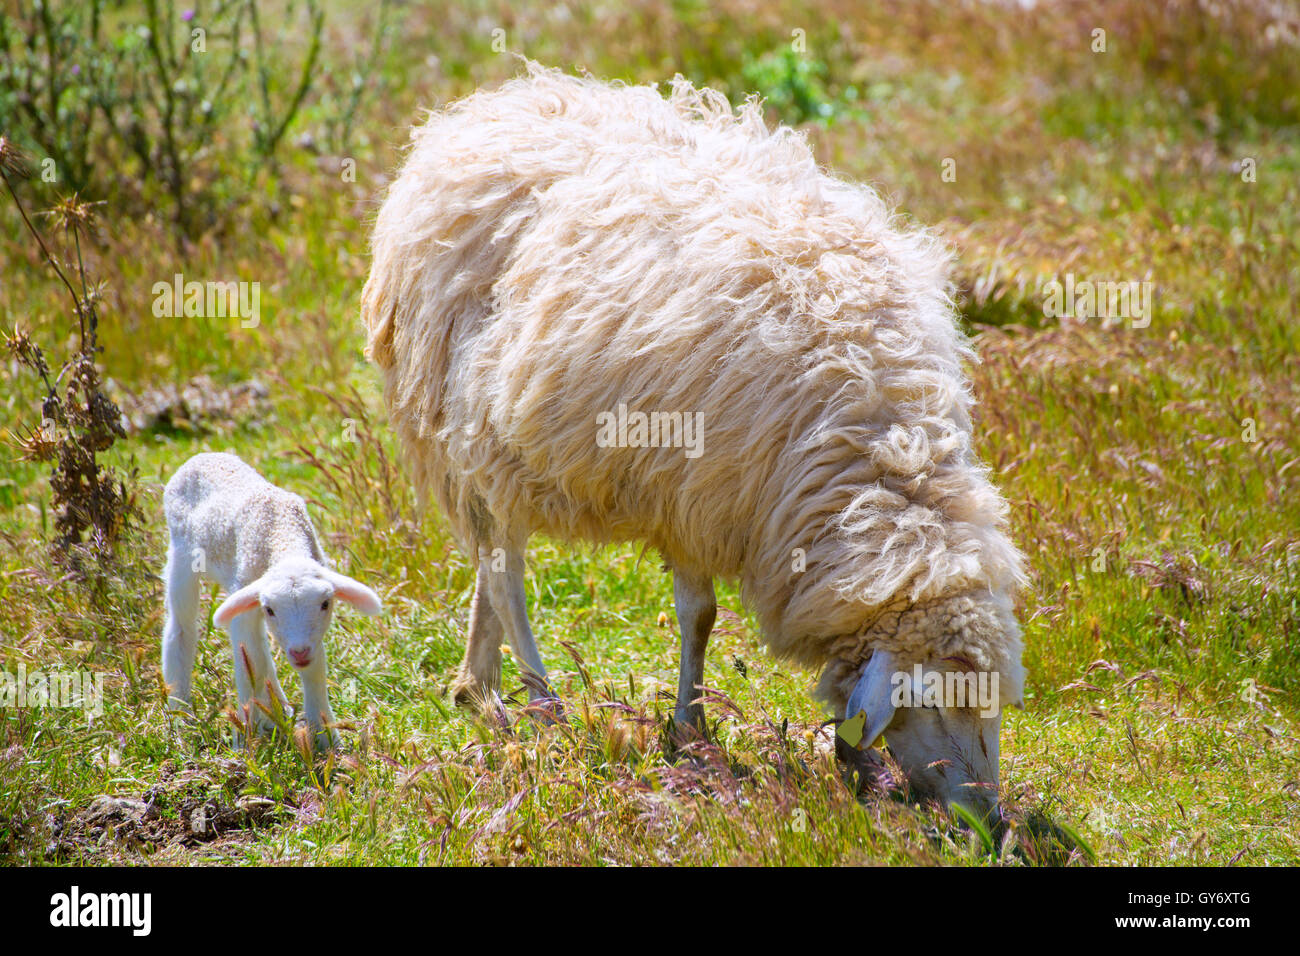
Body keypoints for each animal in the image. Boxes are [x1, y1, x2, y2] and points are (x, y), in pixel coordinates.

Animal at [161, 452, 382, 751]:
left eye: (325, 604)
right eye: (270, 609)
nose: (299, 652)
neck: (281, 531)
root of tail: (204, 455)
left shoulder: (310, 634)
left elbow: (313, 670)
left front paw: (326, 738)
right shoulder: (246, 604)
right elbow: (249, 664)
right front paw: (245, 739)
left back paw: (279, 709)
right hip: (183, 555)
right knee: (181, 627)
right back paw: (181, 715)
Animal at [360, 65, 1026, 818]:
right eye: (932, 701)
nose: (990, 818)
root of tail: (484, 109)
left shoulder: (707, 497)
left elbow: (700, 619)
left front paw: (695, 726)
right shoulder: (692, 487)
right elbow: (700, 614)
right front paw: (691, 728)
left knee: (487, 555)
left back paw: (478, 687)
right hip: (472, 421)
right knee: (506, 574)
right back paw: (545, 706)